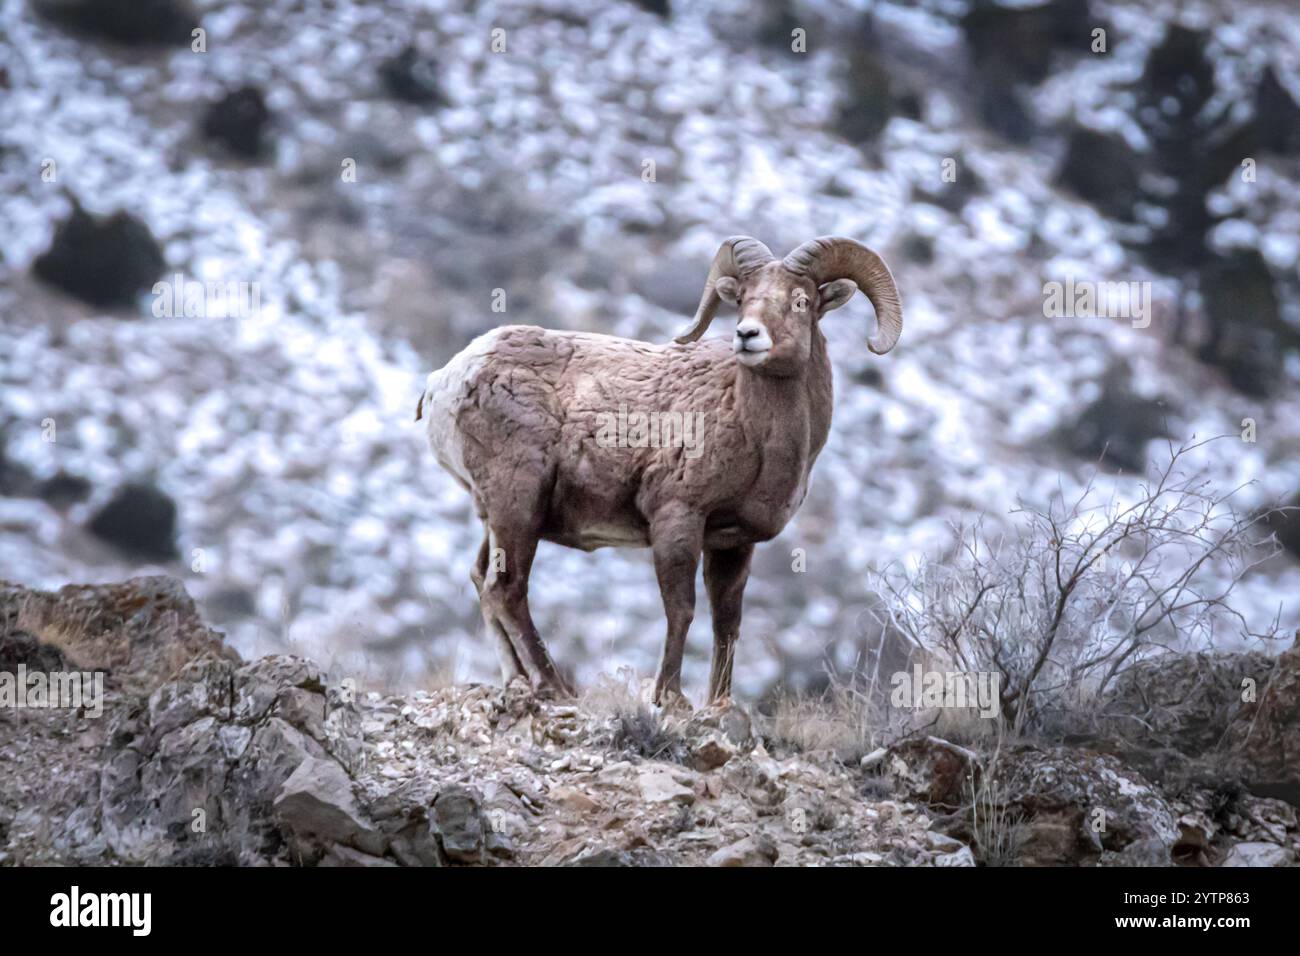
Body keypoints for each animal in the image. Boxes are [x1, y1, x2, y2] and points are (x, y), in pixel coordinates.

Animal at [416, 236, 902, 705]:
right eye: (742, 299)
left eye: (800, 300)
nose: (747, 335)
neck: (750, 423)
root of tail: (447, 379)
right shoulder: (677, 519)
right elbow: (681, 609)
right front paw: (669, 697)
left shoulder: (733, 542)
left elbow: (727, 622)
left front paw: (719, 703)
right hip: (516, 506)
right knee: (507, 589)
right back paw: (554, 686)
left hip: (500, 516)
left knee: (483, 581)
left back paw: (519, 681)